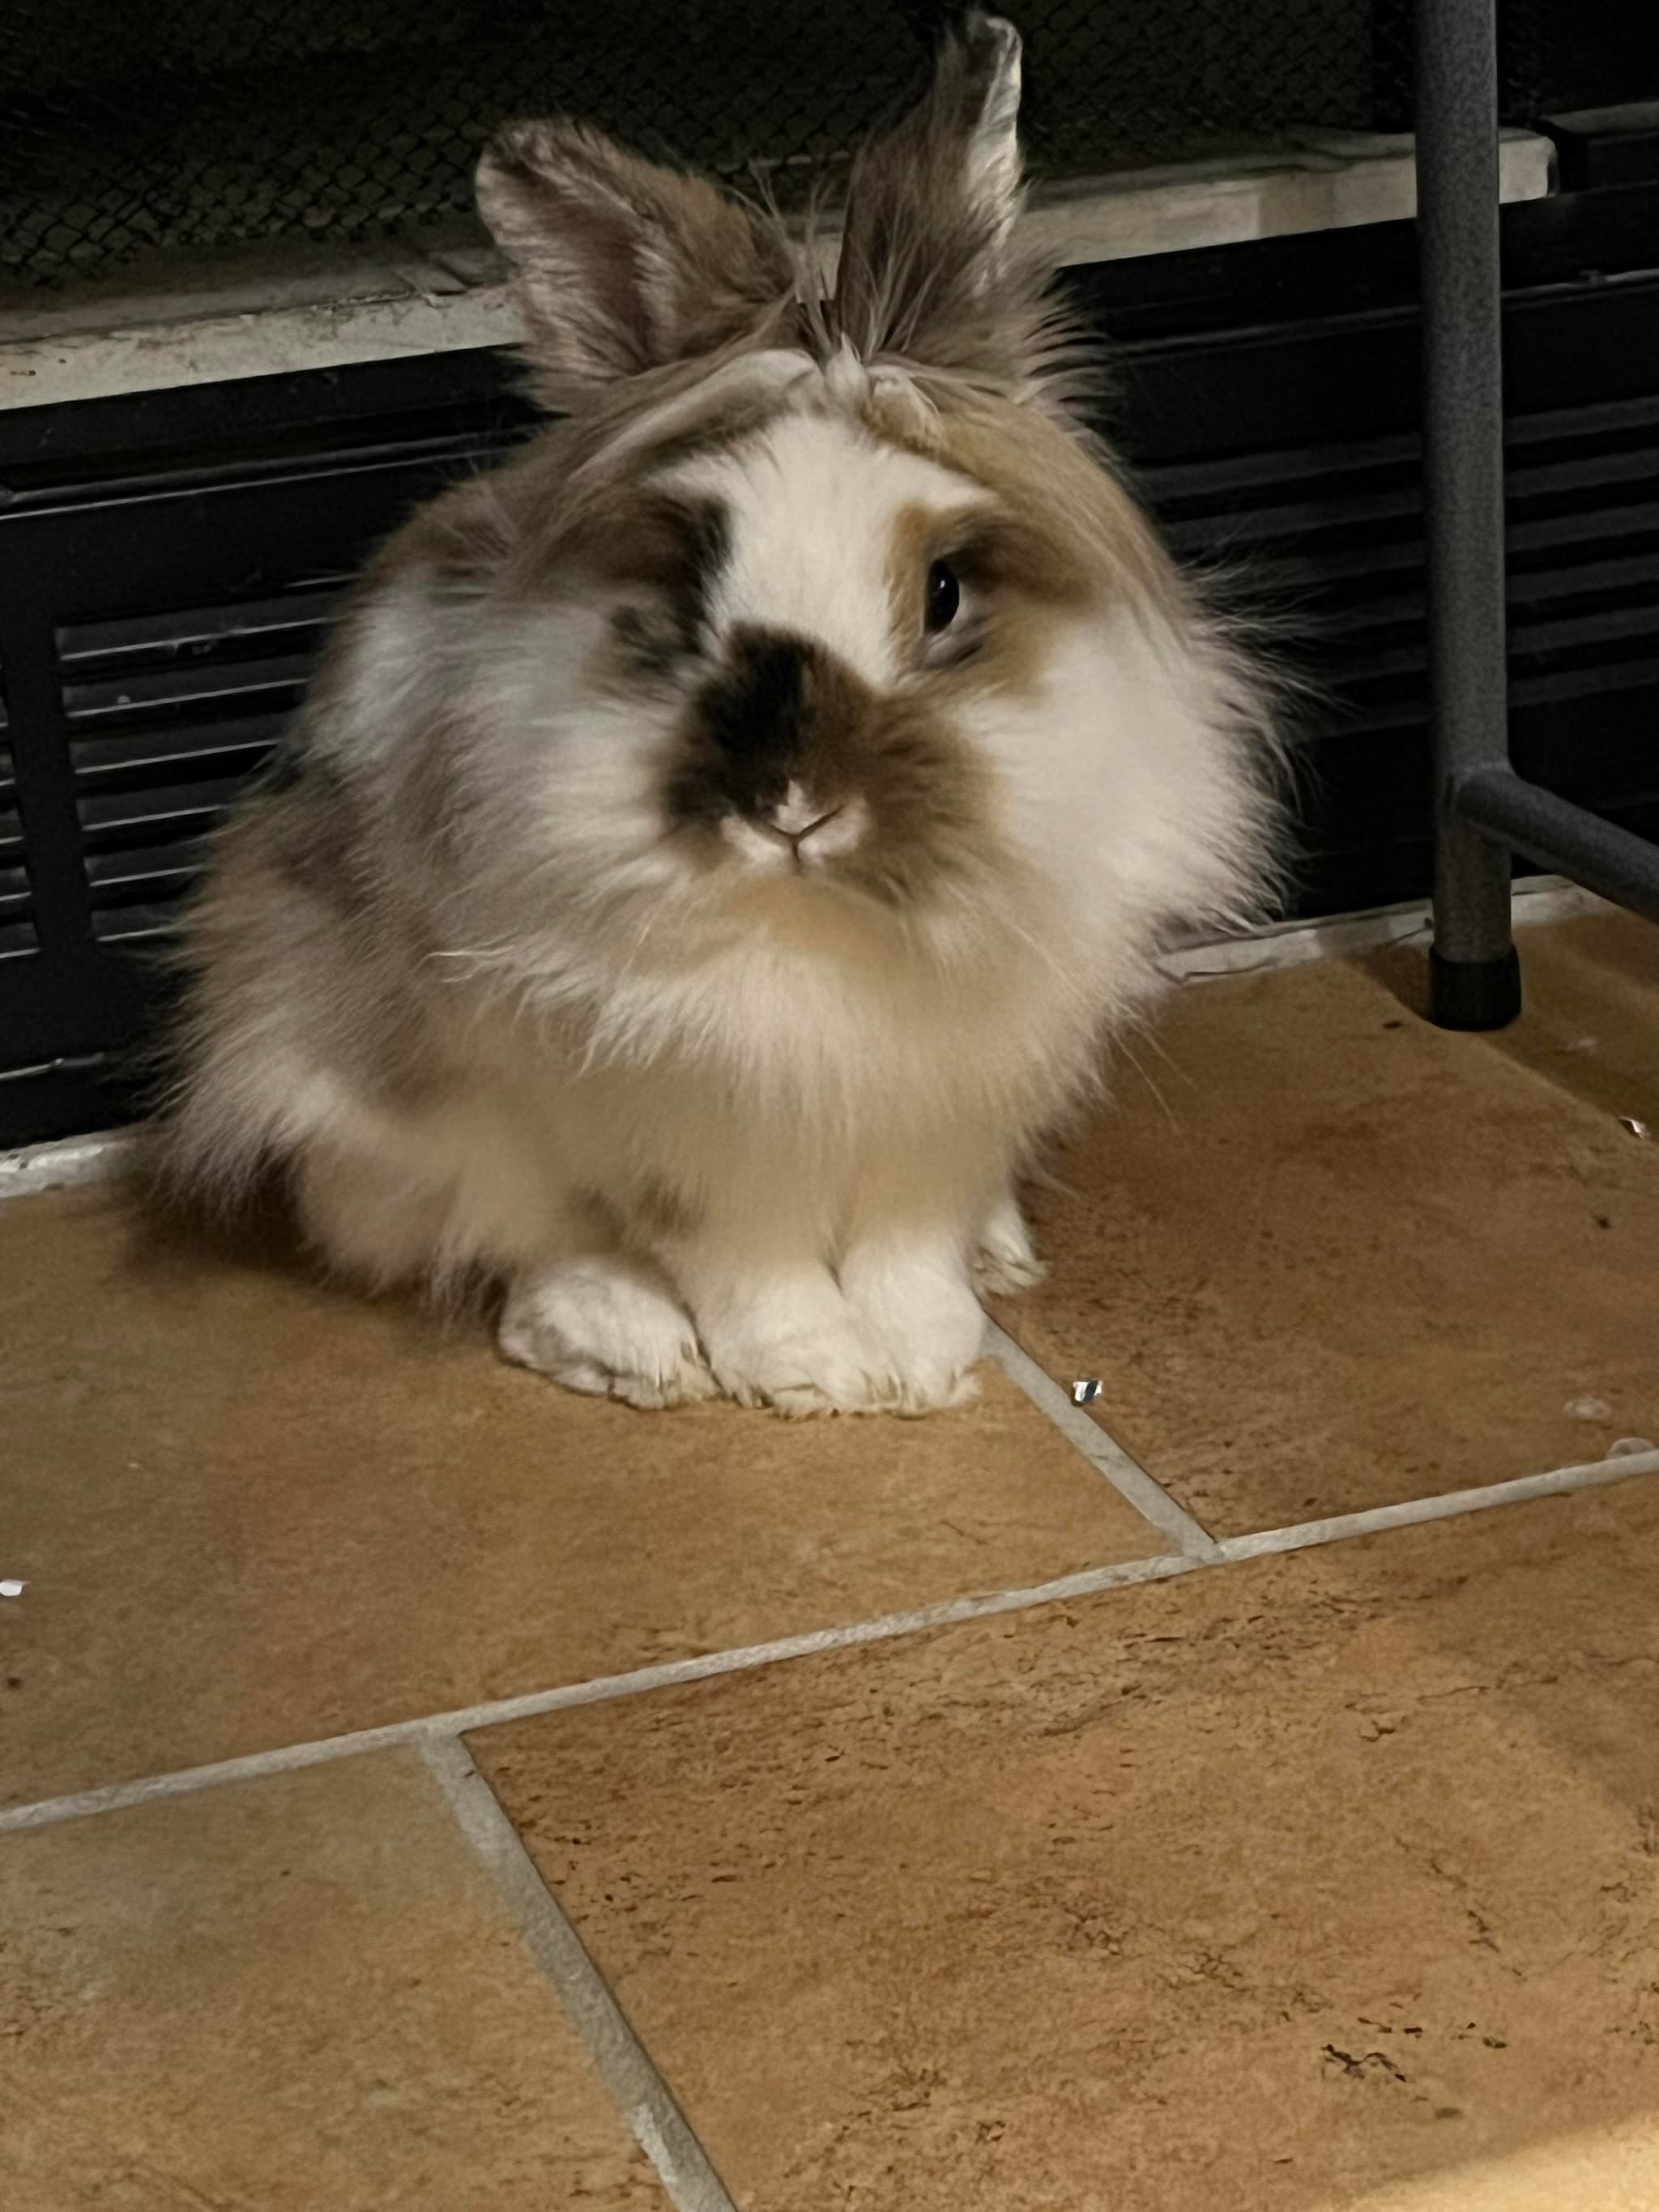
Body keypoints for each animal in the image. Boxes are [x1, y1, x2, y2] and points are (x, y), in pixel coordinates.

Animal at [158, 12, 1282, 1418]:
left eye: (946, 590)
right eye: (686, 593)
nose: (795, 805)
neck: (819, 925)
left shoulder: (954, 1098)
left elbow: (911, 1234)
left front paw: (925, 1354)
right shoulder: (679, 1111)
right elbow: (732, 1248)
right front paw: (813, 1375)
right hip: (369, 1083)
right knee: (503, 1234)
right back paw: (628, 1342)